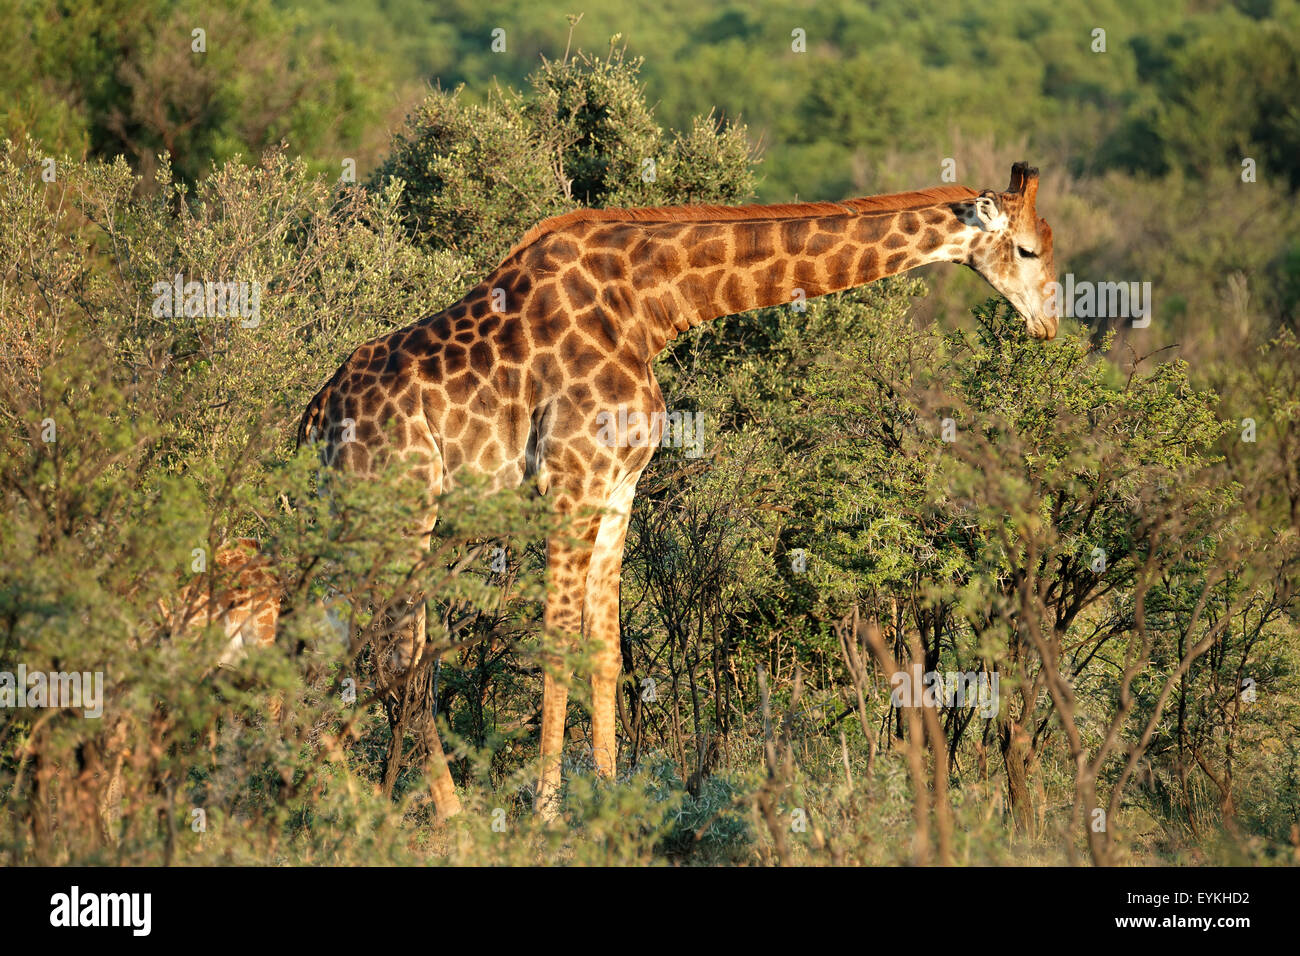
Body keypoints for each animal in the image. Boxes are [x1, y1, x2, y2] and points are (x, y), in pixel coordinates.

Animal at [298, 161, 1056, 821]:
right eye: (1026, 249)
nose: (1050, 323)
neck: (650, 307)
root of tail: (314, 416)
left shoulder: (618, 486)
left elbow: (605, 650)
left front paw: (607, 799)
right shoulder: (570, 481)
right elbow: (557, 645)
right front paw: (548, 814)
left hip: (358, 519)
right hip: (401, 511)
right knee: (399, 655)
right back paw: (437, 818)